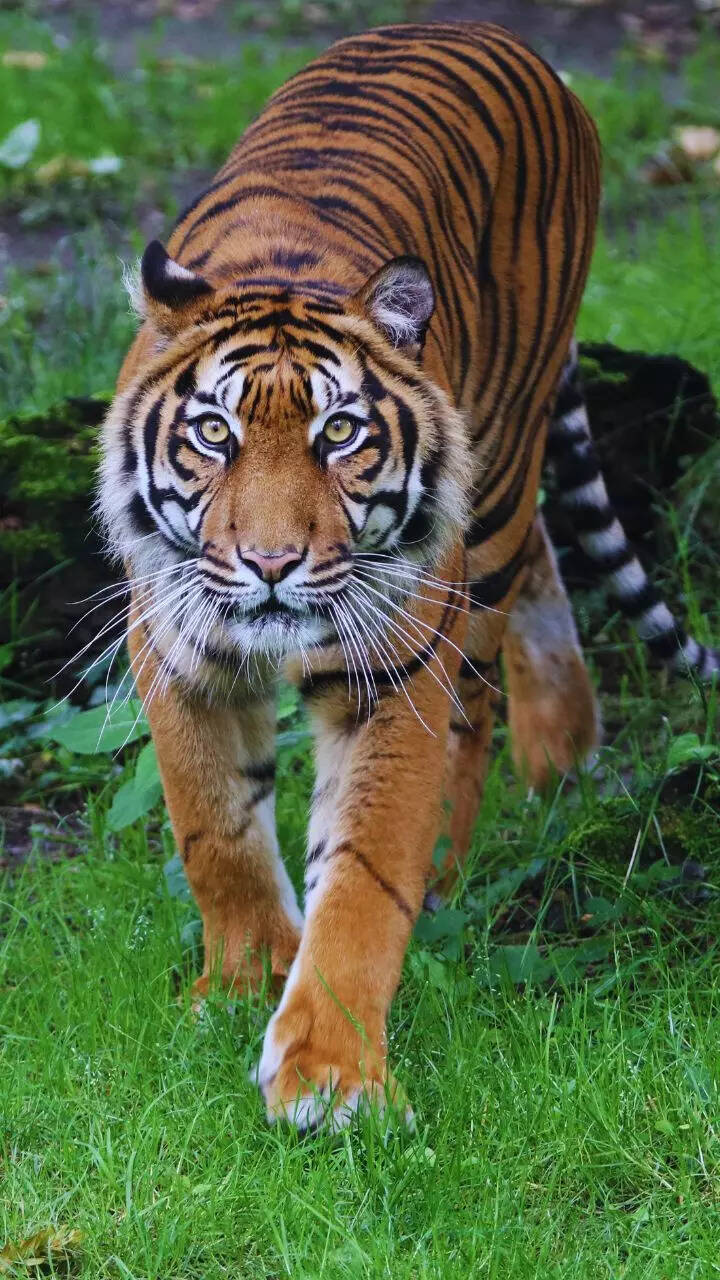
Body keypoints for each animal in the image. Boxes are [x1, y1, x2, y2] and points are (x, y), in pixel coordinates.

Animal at [99, 21, 719, 1131]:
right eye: (213, 434)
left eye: (339, 434)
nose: (269, 564)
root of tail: (490, 30)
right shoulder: (173, 642)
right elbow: (216, 829)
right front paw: (244, 984)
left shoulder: (390, 666)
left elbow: (364, 868)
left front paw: (330, 1071)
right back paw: (563, 756)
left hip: (495, 495)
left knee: (485, 676)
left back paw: (471, 848)